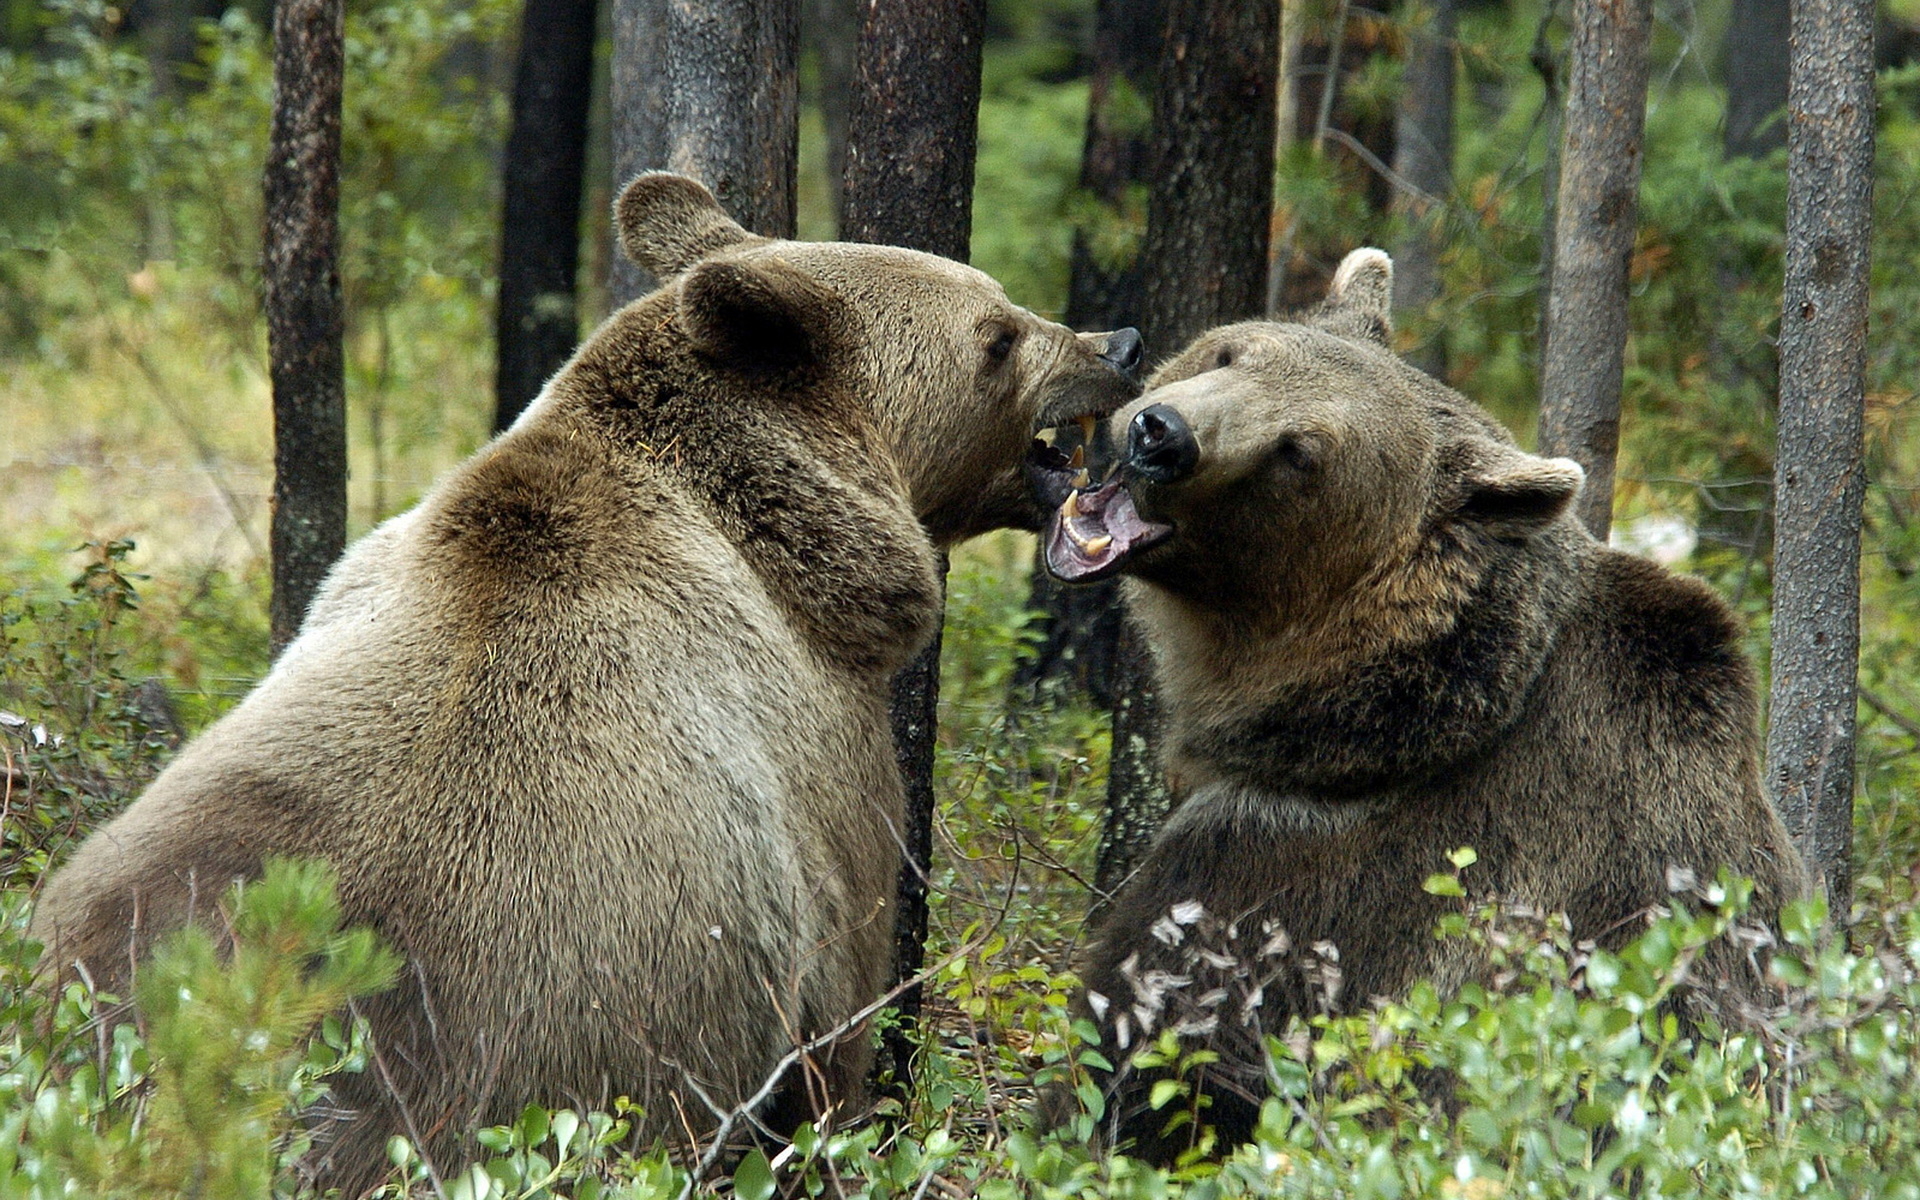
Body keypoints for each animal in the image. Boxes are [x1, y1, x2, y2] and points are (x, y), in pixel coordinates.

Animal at [29, 172, 1142, 1196]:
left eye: (1005, 305)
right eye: (998, 334)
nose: (1119, 343)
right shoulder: (823, 777)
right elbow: (843, 1015)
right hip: (526, 1043)